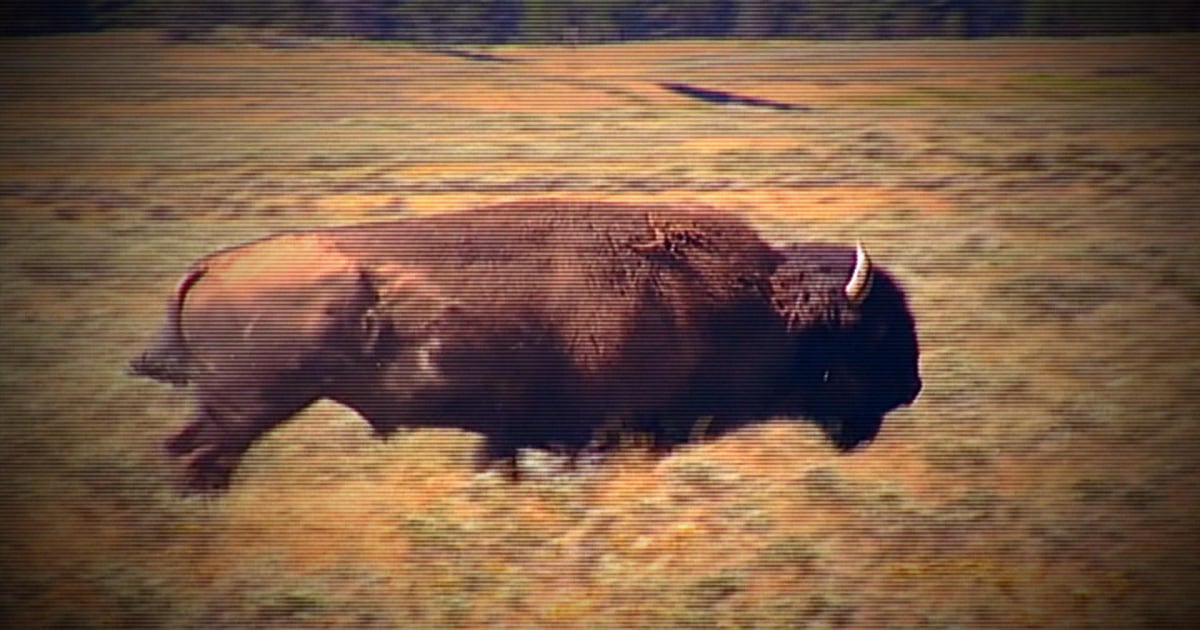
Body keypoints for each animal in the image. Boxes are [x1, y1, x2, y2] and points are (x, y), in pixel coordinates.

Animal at [131, 199, 920, 493]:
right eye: (877, 329)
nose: (910, 386)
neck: (754, 303)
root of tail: (216, 264)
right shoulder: (600, 433)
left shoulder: (516, 432)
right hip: (252, 406)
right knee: (204, 457)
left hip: (238, 406)